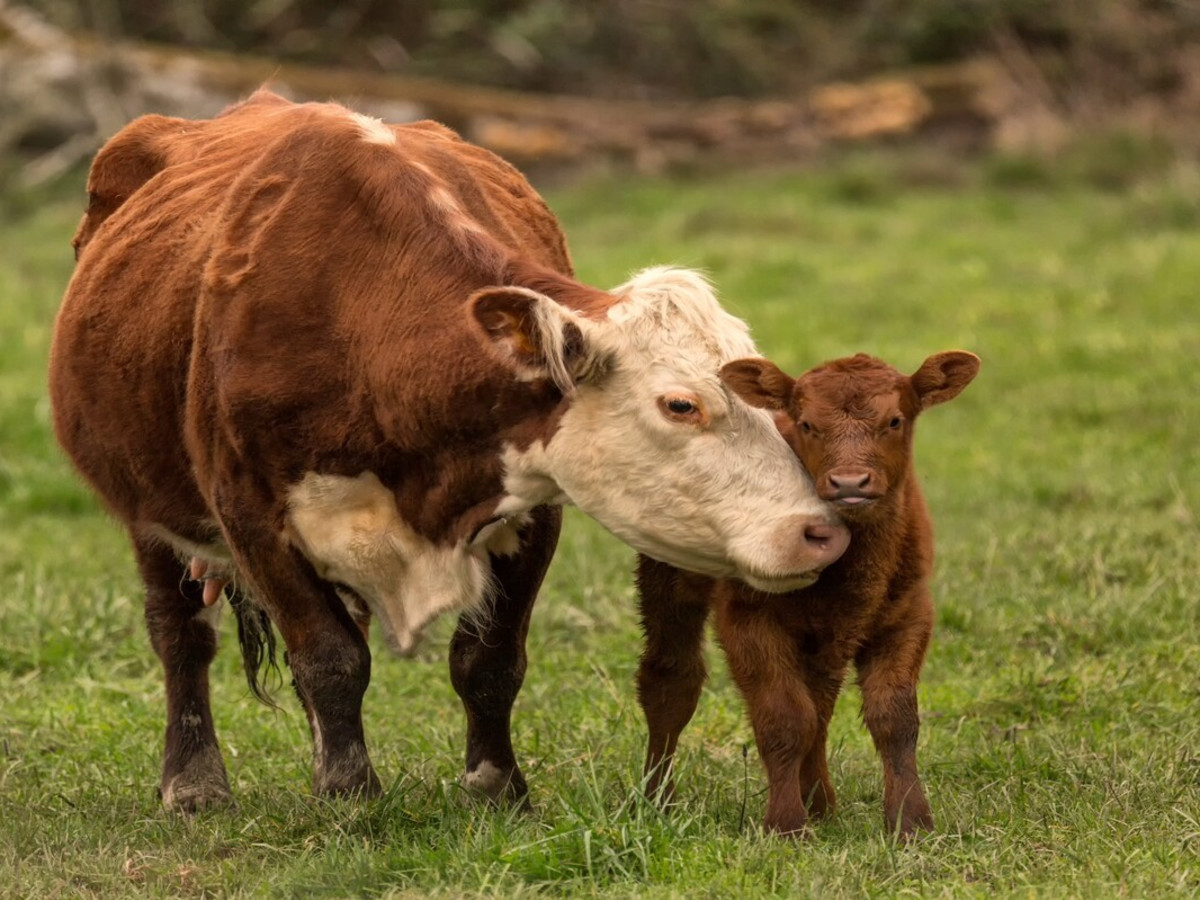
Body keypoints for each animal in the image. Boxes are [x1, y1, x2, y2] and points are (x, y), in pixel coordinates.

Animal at [48, 91, 850, 812]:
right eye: (680, 404)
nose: (820, 531)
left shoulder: (531, 507)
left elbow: (487, 661)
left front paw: (496, 786)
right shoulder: (250, 514)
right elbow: (329, 657)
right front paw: (350, 795)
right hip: (149, 511)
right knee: (180, 634)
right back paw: (193, 782)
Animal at [635, 349, 979, 839]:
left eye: (895, 420)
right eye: (807, 424)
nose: (850, 482)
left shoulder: (908, 613)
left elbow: (893, 718)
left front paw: (911, 821)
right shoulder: (747, 617)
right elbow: (784, 718)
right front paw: (785, 824)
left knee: (819, 702)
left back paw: (822, 805)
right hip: (668, 575)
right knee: (671, 681)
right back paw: (657, 800)